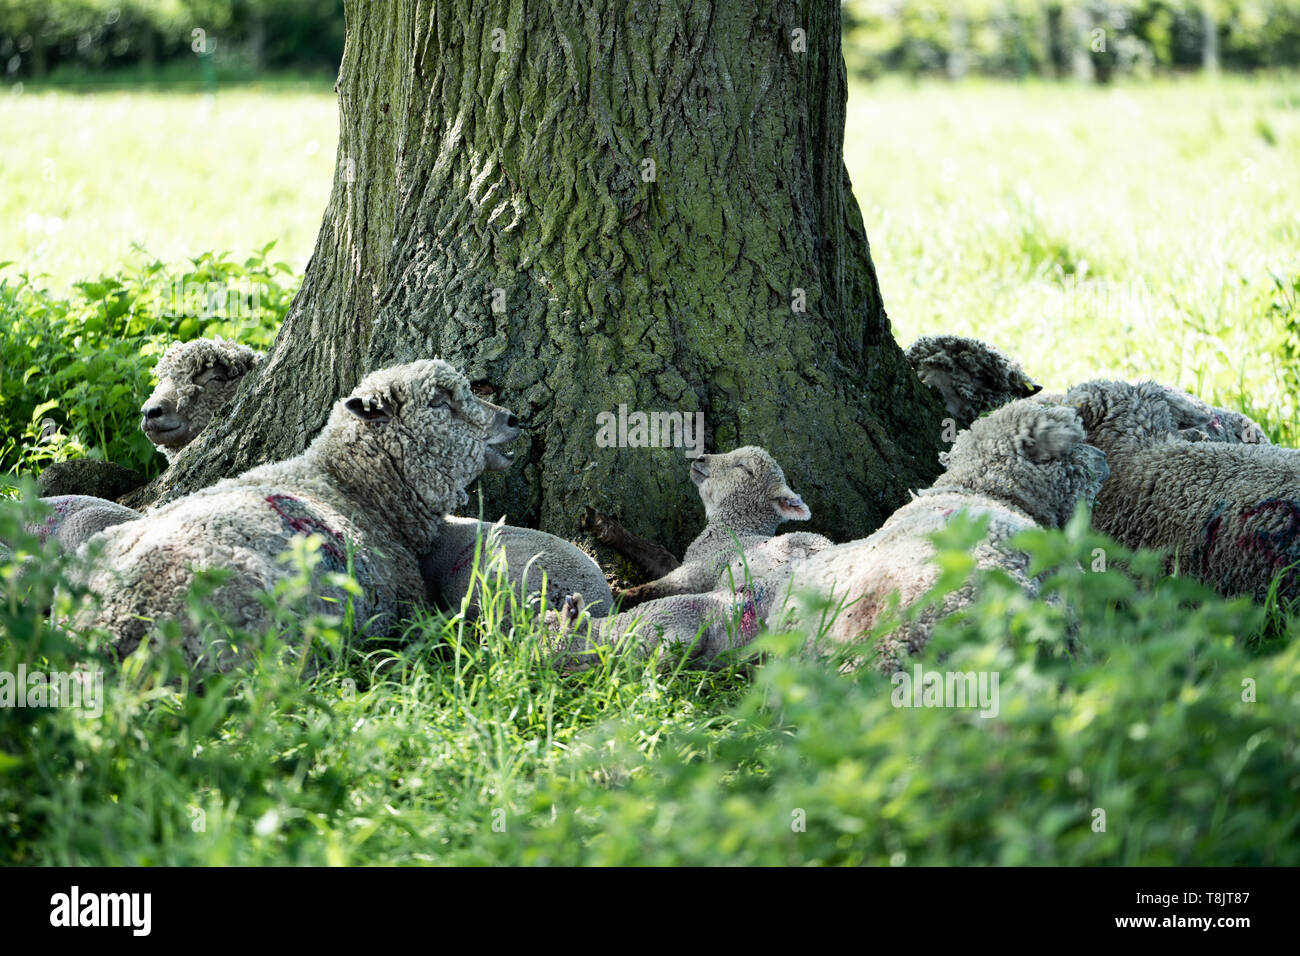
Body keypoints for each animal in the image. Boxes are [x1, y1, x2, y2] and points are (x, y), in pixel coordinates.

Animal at [550, 399, 1108, 672]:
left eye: (746, 470)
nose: (699, 457)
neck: (735, 530)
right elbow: (658, 555)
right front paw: (605, 529)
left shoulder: (701, 570)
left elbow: (659, 578)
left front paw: (625, 587)